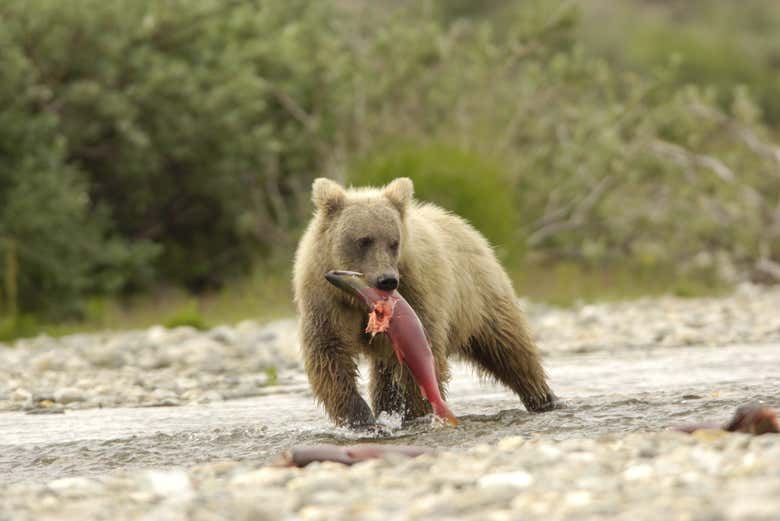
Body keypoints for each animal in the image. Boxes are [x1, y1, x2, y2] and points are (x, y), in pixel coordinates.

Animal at [293, 177, 558, 428]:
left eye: (394, 242)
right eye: (364, 240)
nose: (387, 280)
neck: (356, 300)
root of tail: (470, 230)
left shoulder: (417, 292)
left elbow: (420, 358)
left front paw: (417, 412)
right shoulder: (325, 302)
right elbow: (329, 353)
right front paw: (360, 418)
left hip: (479, 296)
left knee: (510, 348)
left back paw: (544, 398)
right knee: (384, 378)